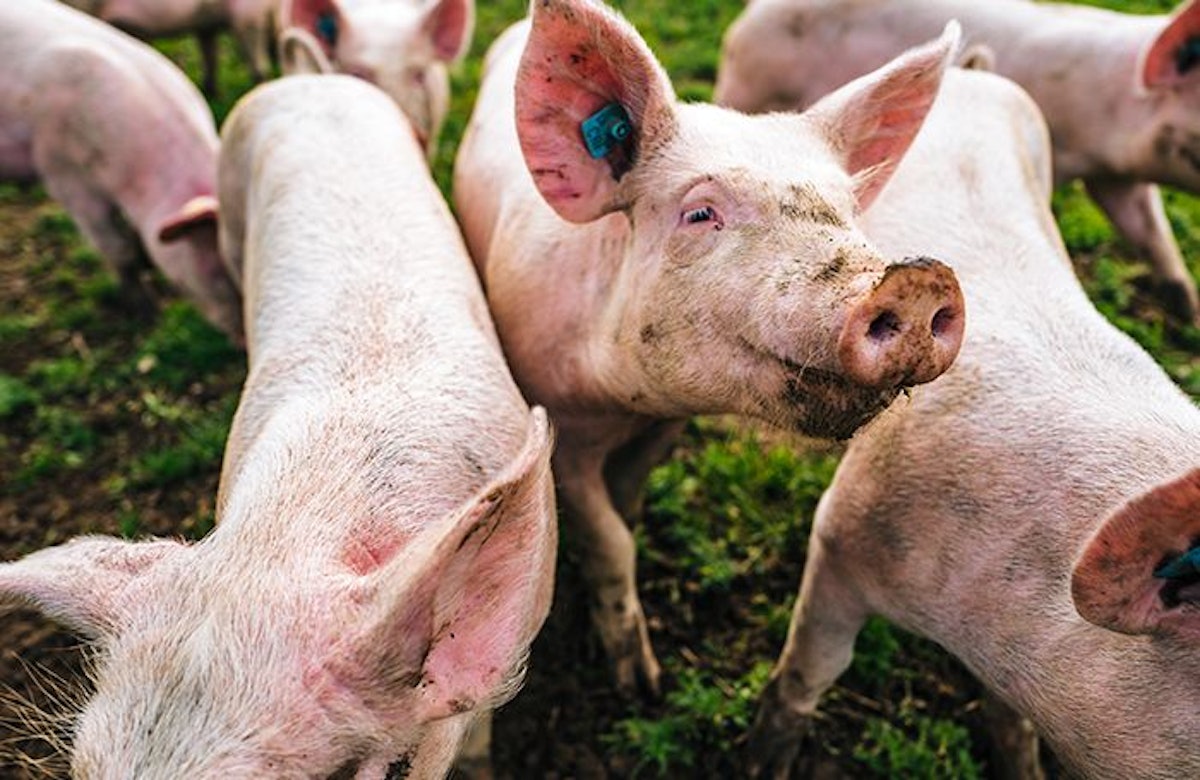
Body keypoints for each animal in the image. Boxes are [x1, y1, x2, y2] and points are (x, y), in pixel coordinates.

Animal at [452, 0, 966, 697]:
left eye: (848, 210)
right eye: (700, 214)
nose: (918, 279)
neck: (627, 403)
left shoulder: (669, 420)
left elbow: (629, 497)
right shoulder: (558, 424)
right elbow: (609, 541)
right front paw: (642, 684)